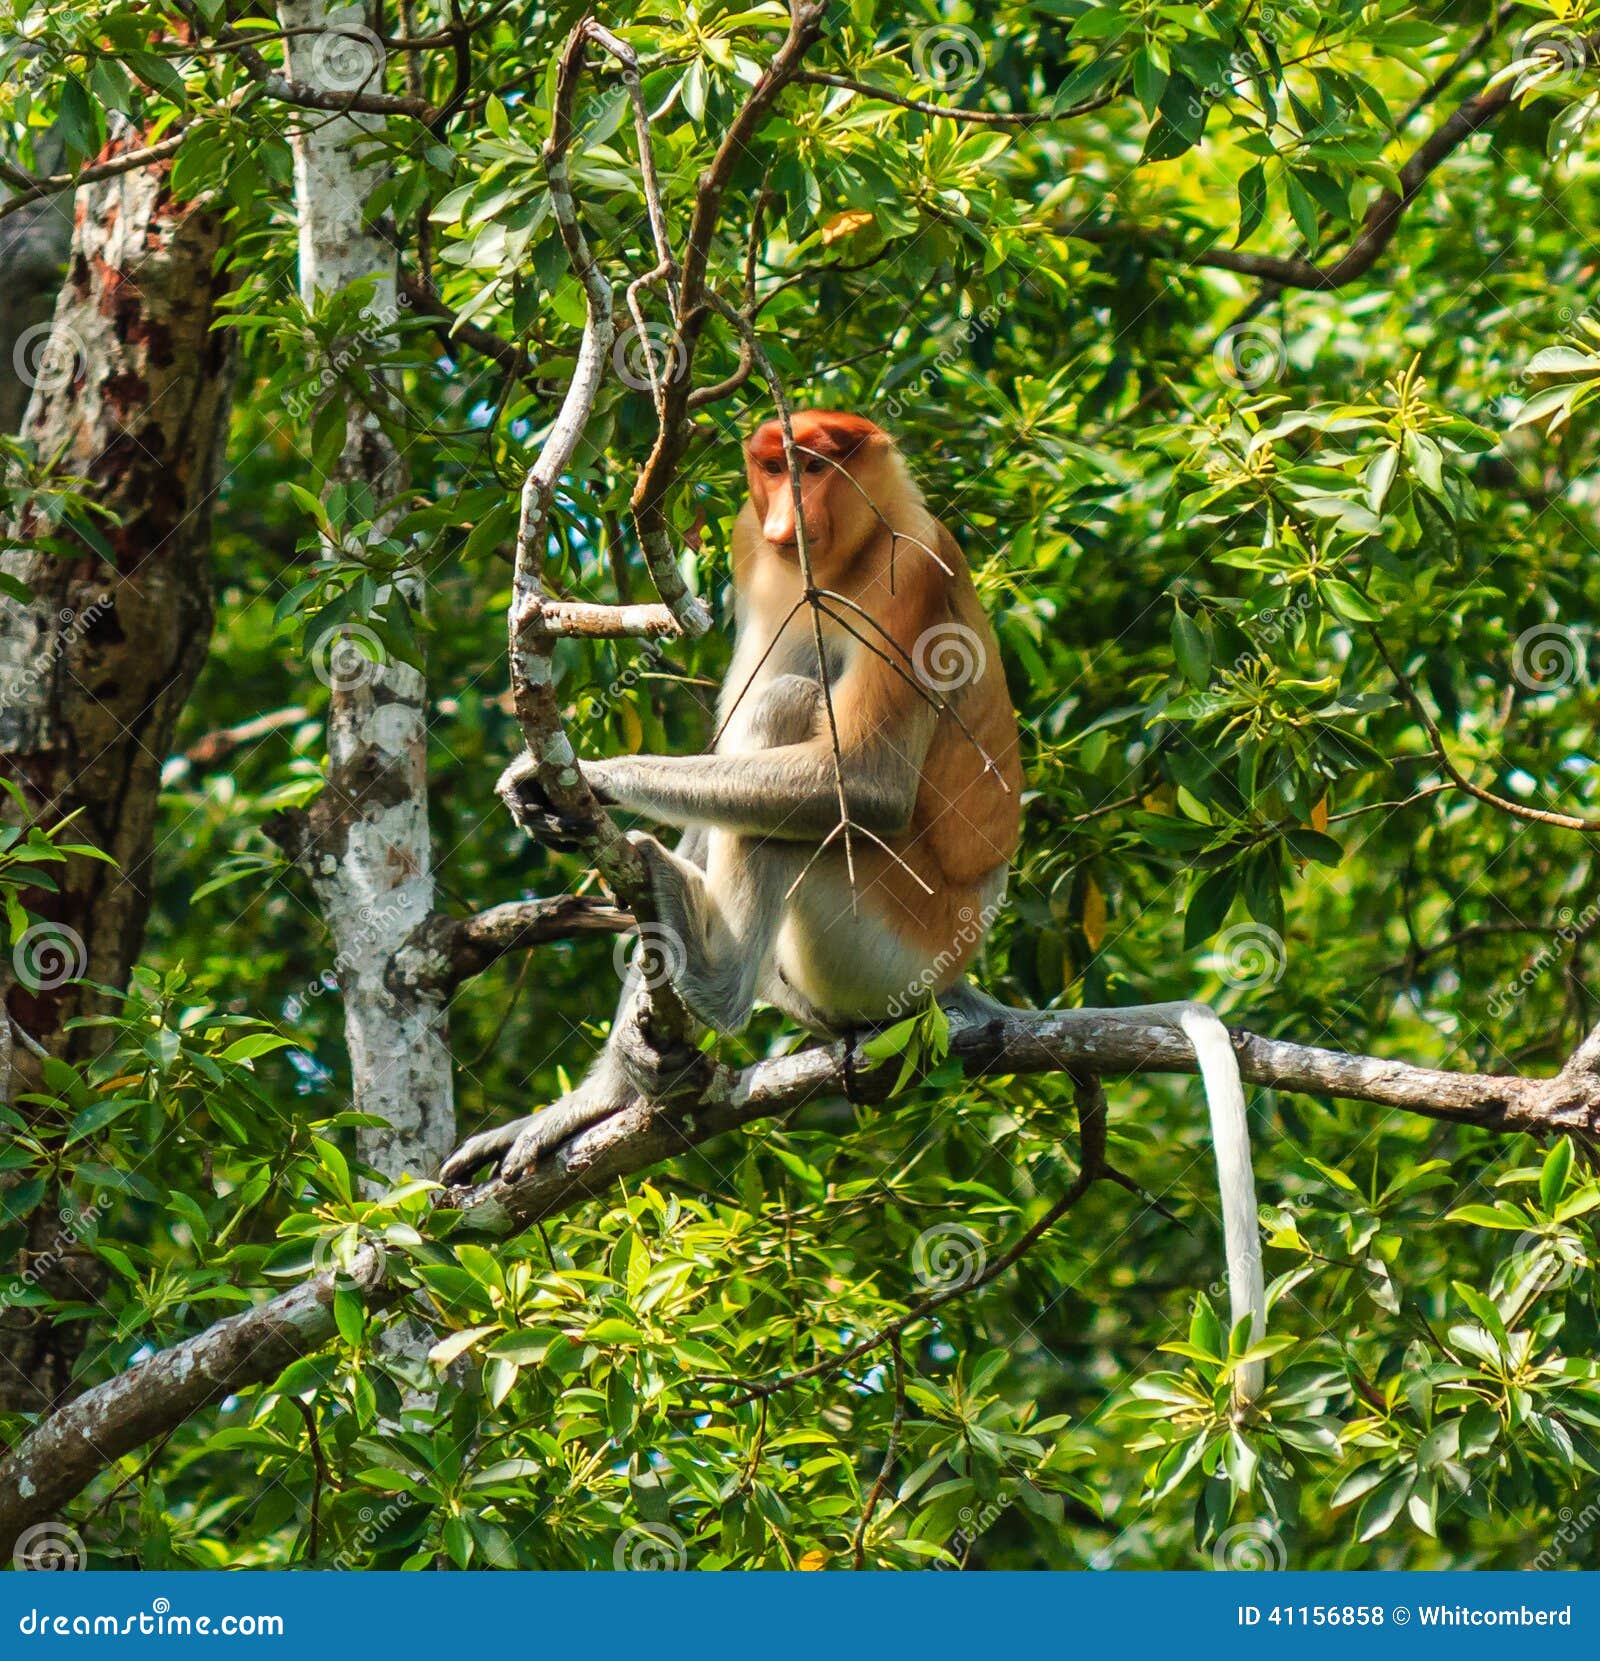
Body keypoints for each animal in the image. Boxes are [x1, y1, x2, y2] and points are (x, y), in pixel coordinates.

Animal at [442, 410, 1267, 1403]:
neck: (851, 550)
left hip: (884, 935)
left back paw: (709, 978)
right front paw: (590, 1097)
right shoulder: (759, 572)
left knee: (792, 725)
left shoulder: (911, 575)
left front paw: (580, 780)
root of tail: (955, 973)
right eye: (771, 467)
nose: (785, 517)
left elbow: (863, 783)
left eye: (814, 465)